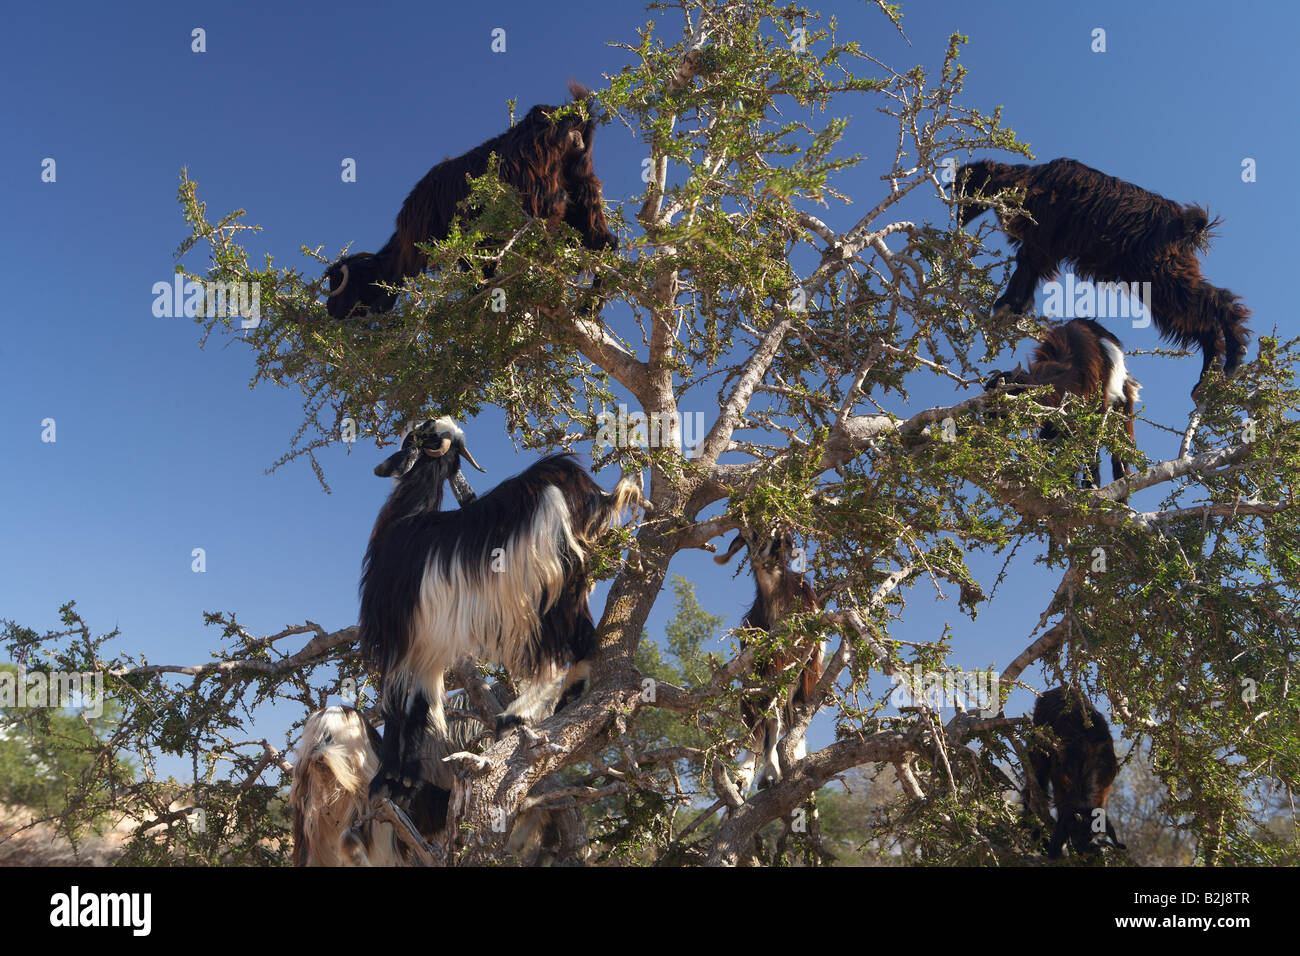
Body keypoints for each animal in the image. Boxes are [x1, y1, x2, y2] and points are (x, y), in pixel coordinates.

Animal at [326, 82, 617, 319]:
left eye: (343, 283)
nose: (331, 311)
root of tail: (574, 118)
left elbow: (472, 265)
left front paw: (479, 291)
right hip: (585, 190)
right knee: (606, 243)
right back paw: (590, 306)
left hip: (539, 194)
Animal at [359, 417, 644, 835]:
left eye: (412, 439)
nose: (382, 468)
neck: (406, 522)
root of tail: (585, 491)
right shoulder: (429, 644)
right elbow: (421, 705)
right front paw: (406, 780)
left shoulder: (398, 635)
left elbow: (396, 706)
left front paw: (387, 780)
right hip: (573, 584)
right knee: (585, 641)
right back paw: (566, 701)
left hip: (540, 586)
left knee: (556, 653)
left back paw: (516, 715)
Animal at [715, 529, 824, 791]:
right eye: (749, 536)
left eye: (779, 537)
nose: (762, 554)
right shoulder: (763, 672)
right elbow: (766, 721)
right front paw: (762, 774)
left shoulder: (795, 671)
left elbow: (783, 718)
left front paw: (772, 772)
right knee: (758, 722)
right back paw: (743, 776)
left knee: (793, 715)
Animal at [957, 157, 1250, 393]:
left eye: (966, 181)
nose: (958, 216)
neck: (1026, 180)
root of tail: (1185, 223)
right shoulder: (1043, 245)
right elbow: (1028, 272)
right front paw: (1013, 308)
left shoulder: (1042, 238)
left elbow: (1025, 267)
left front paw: (1006, 306)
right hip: (1159, 284)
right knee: (1202, 323)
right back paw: (1207, 378)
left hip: (1164, 275)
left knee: (1219, 302)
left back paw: (1234, 358)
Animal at [986, 317, 1141, 489]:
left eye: (1007, 393)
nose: (986, 416)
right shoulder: (1055, 418)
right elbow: (1051, 444)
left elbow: (1089, 445)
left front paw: (1090, 483)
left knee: (1120, 446)